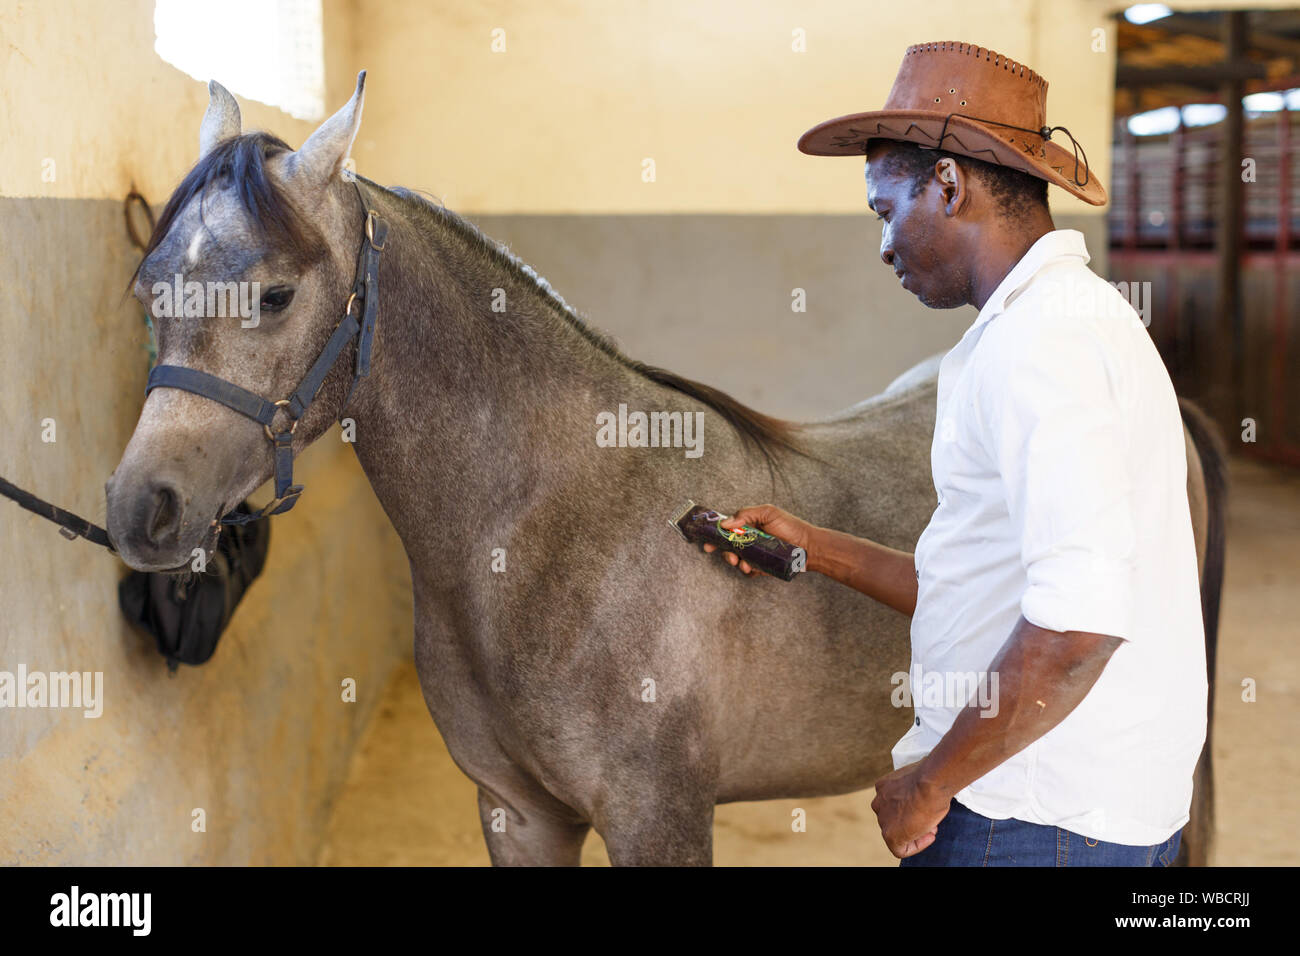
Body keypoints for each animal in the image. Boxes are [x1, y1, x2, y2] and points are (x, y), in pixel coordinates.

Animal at [106, 74, 1224, 866]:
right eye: (150, 286)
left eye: (276, 294)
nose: (141, 509)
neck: (552, 533)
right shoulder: (518, 816)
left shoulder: (658, 817)